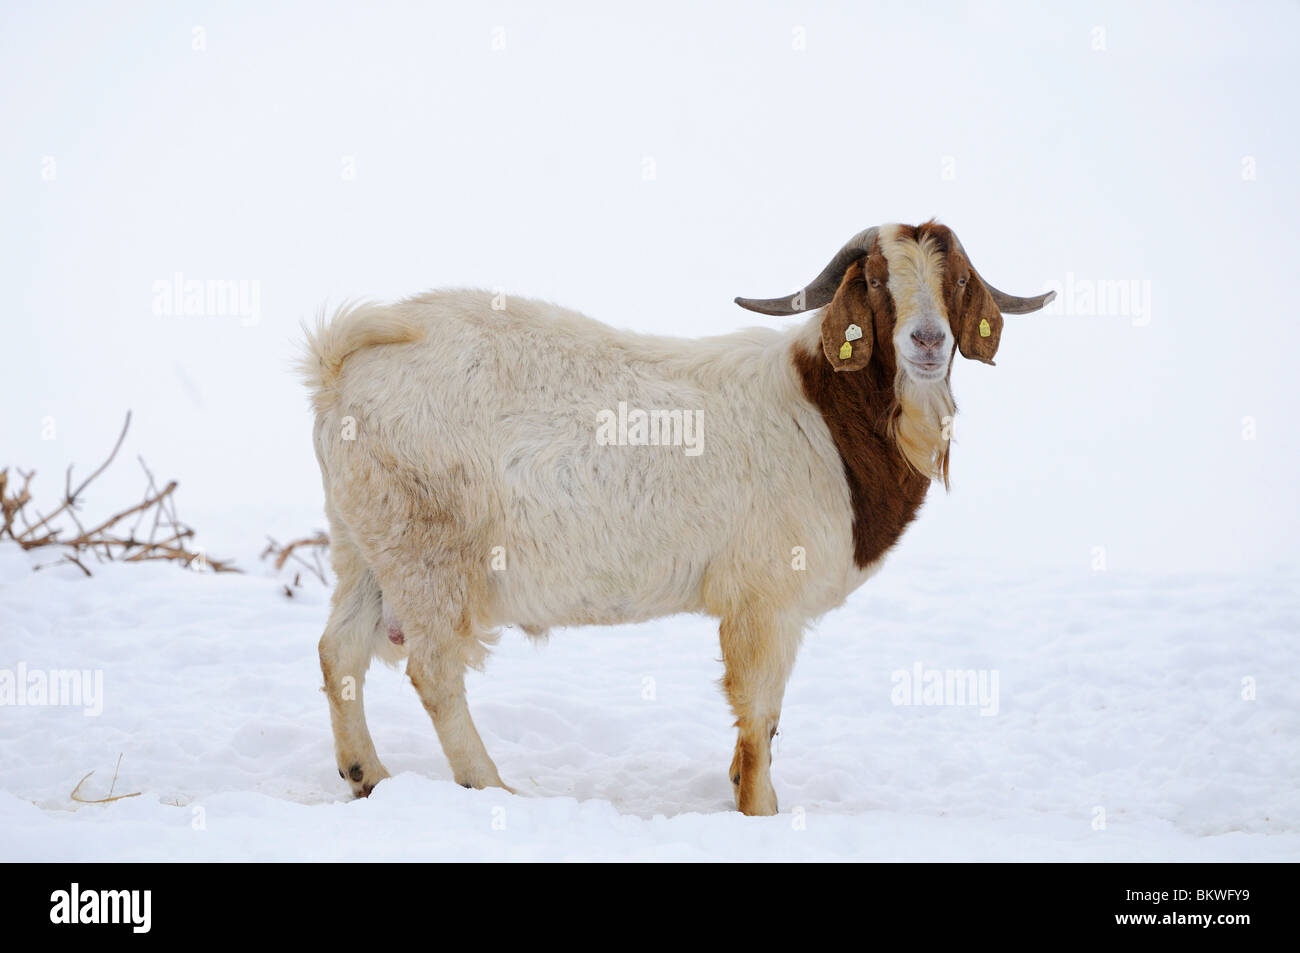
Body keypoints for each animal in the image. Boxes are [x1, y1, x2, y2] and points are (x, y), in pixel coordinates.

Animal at [300, 220, 1054, 815]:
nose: (927, 341)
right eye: (874, 279)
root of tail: (344, 363)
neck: (826, 412)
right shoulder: (763, 600)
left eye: (957, 280)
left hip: (367, 544)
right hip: (430, 552)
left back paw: (367, 776)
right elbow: (759, 711)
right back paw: (490, 787)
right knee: (433, 670)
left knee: (340, 649)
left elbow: (763, 723)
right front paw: (761, 811)